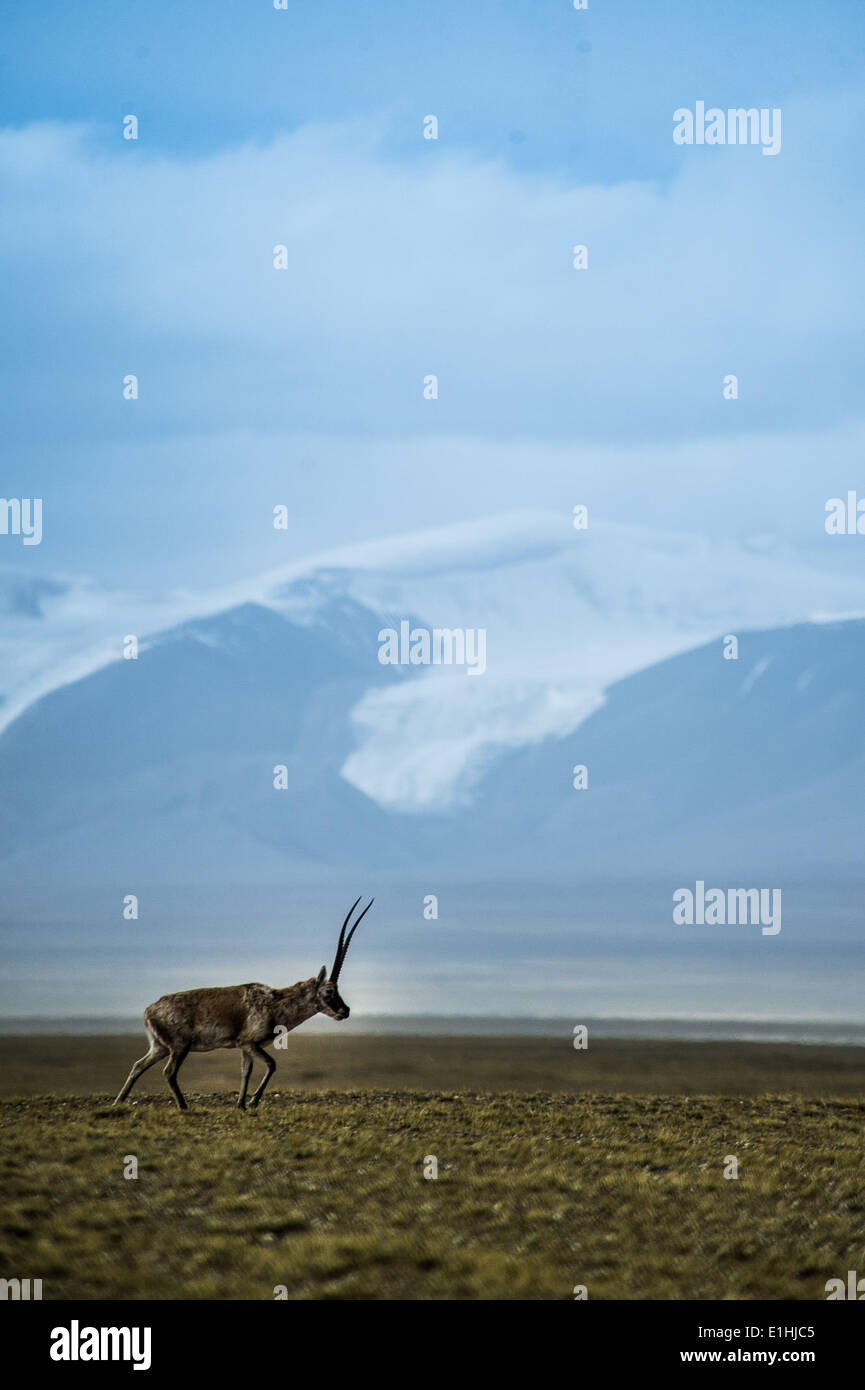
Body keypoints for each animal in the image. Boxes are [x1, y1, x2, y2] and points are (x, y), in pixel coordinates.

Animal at [114, 898, 373, 1111]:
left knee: (138, 1065)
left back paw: (119, 1102)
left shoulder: (244, 1048)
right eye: (329, 991)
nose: (345, 1011)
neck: (274, 1002)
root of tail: (149, 1010)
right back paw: (183, 1106)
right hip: (179, 1047)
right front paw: (253, 1101)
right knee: (168, 1072)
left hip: (160, 1047)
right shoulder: (250, 1043)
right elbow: (272, 1065)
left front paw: (241, 1104)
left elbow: (245, 1072)